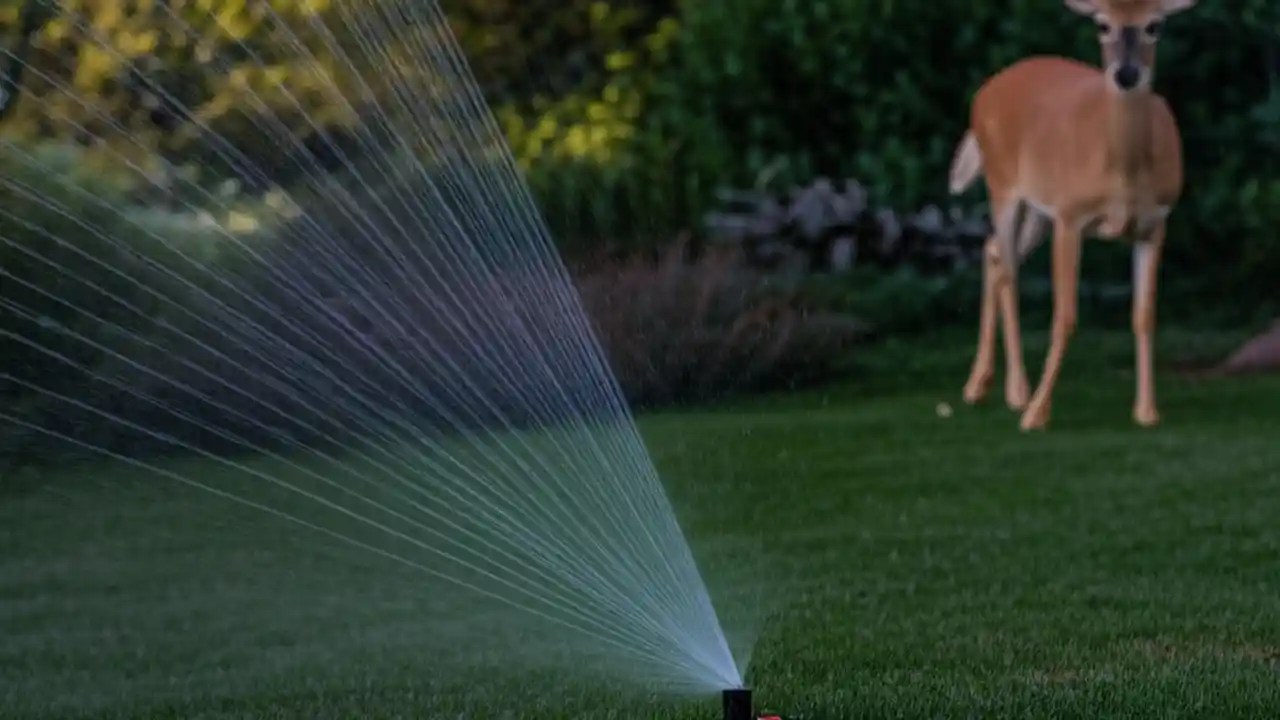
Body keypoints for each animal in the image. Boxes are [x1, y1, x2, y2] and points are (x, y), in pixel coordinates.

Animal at [947, 0, 1197, 431]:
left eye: (1154, 25)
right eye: (1102, 24)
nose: (1126, 74)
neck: (1122, 175)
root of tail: (986, 89)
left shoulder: (1155, 223)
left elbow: (1144, 315)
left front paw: (1147, 411)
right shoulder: (1070, 215)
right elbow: (1065, 316)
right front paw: (1037, 414)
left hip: (1037, 210)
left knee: (992, 249)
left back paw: (978, 385)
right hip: (1003, 184)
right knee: (1008, 270)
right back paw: (1018, 392)